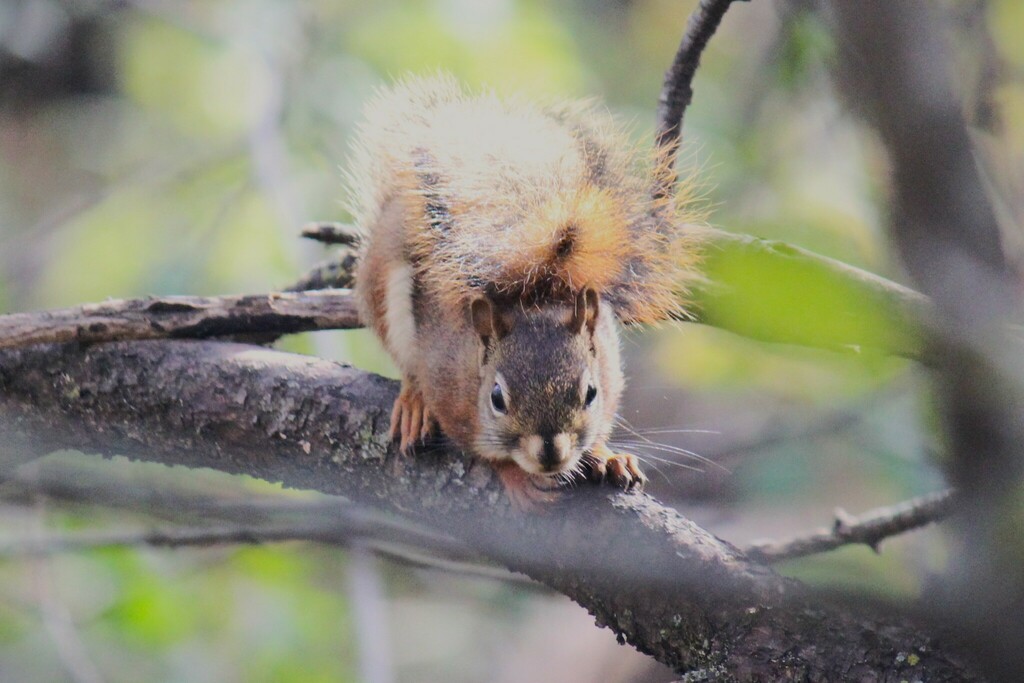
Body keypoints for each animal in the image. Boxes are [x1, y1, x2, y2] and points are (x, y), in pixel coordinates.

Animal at [346, 75, 702, 509]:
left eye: (591, 392)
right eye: (497, 398)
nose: (550, 454)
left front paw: (608, 455)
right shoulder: (448, 386)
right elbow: (478, 449)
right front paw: (514, 474)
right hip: (382, 283)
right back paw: (414, 404)